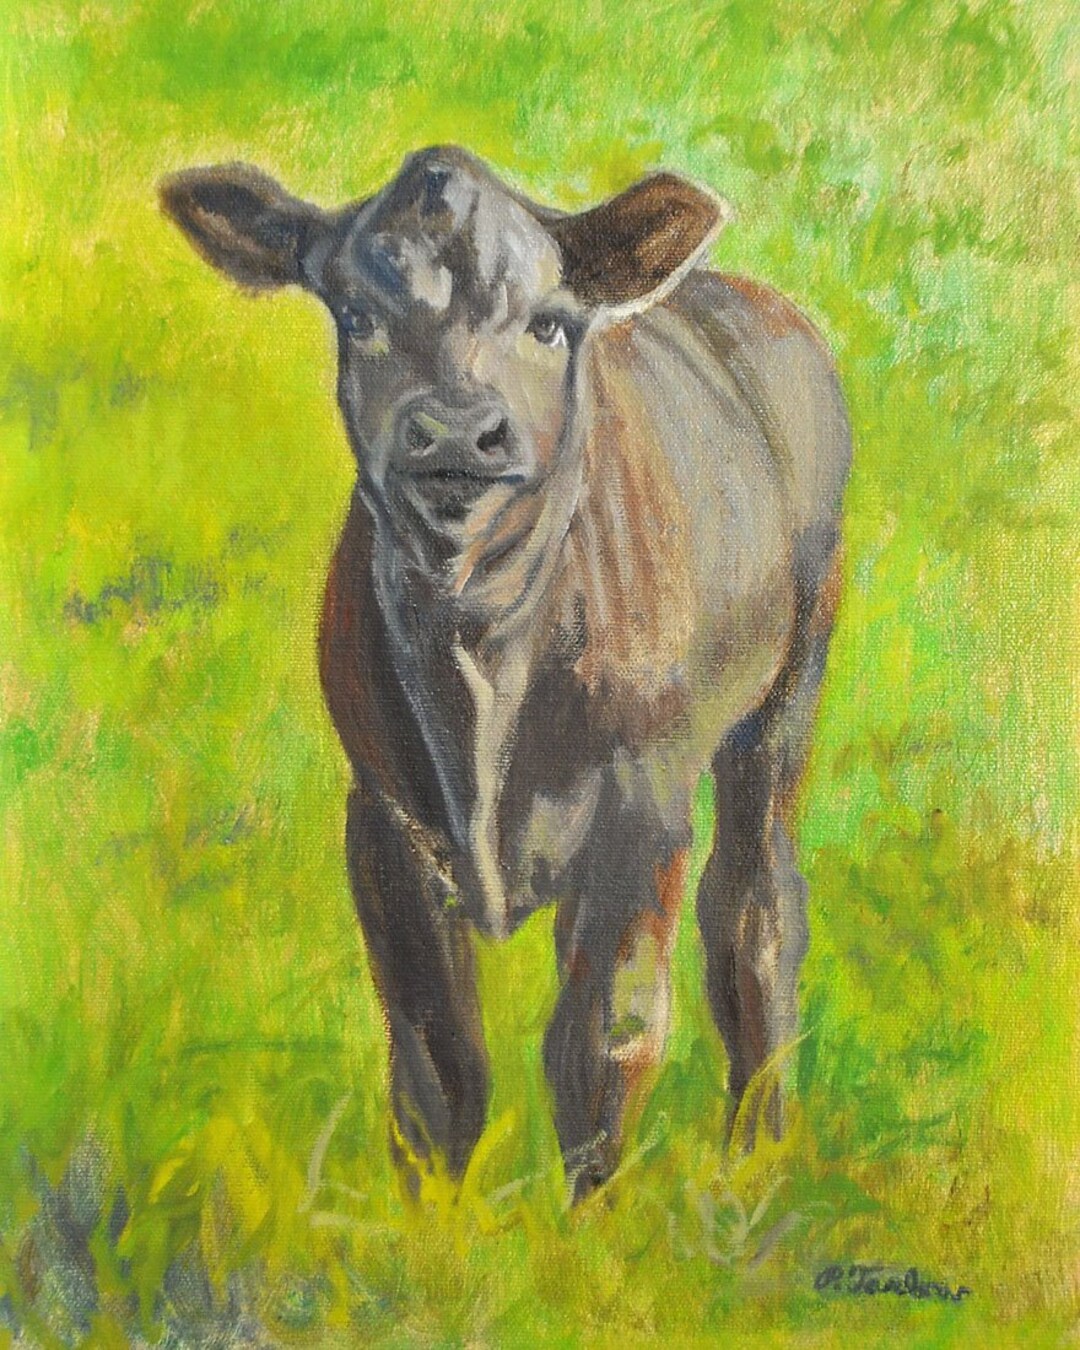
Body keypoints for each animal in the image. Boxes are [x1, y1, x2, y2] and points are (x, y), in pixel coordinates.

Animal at [160, 146, 851, 1201]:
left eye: (548, 321)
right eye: (355, 314)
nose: (454, 432)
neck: (477, 651)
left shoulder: (642, 812)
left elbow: (604, 1043)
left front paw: (589, 1231)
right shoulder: (382, 823)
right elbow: (438, 1064)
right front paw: (429, 1231)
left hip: (783, 703)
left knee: (755, 912)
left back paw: (757, 1157)